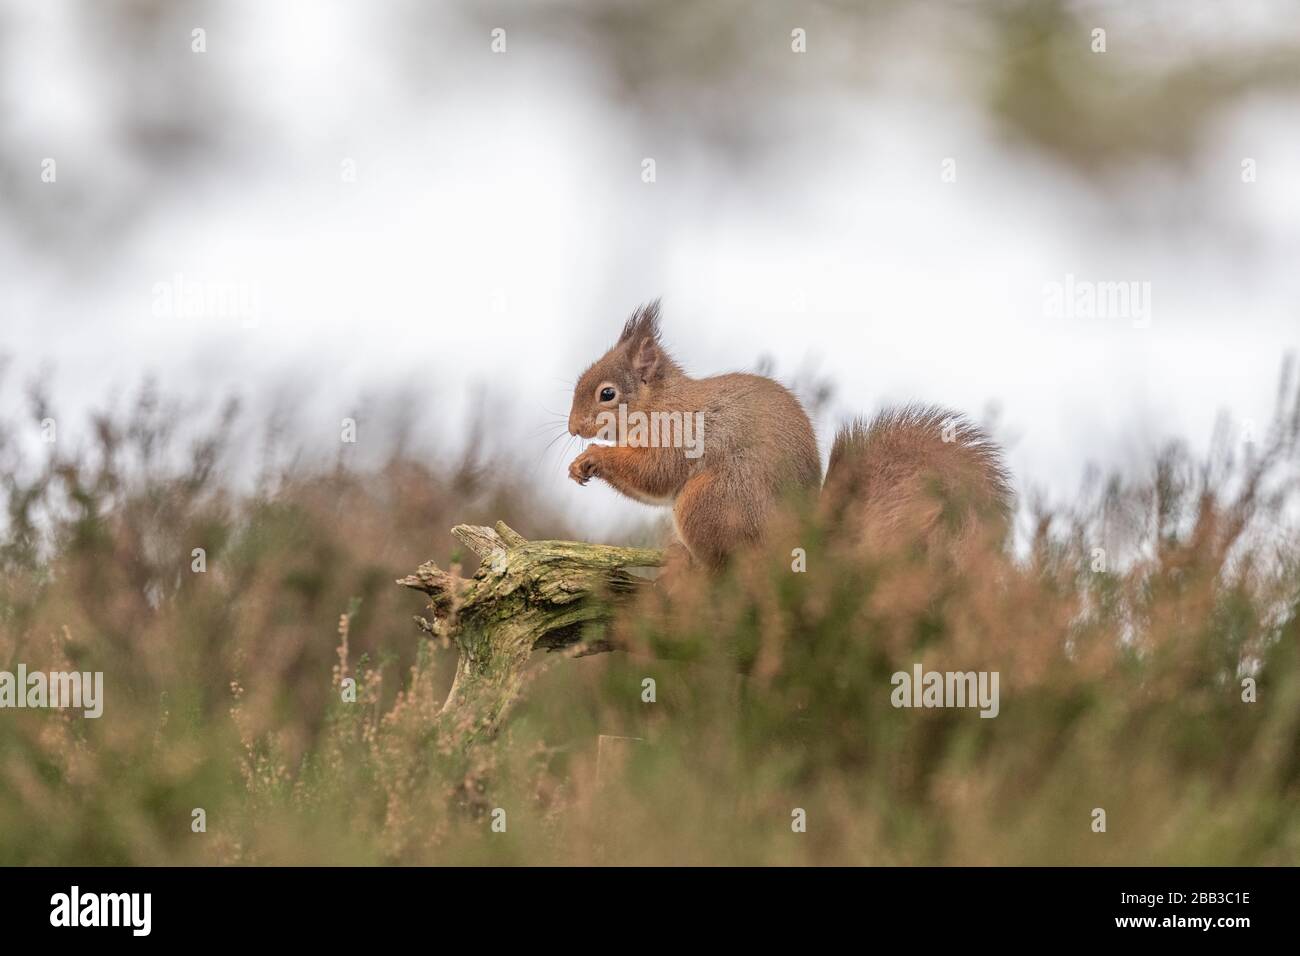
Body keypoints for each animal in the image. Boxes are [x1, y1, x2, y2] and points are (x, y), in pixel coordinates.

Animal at [567, 300, 1012, 569]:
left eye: (607, 394)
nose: (573, 428)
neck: (659, 401)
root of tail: (794, 539)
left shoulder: (678, 432)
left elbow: (656, 474)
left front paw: (593, 457)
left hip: (709, 501)